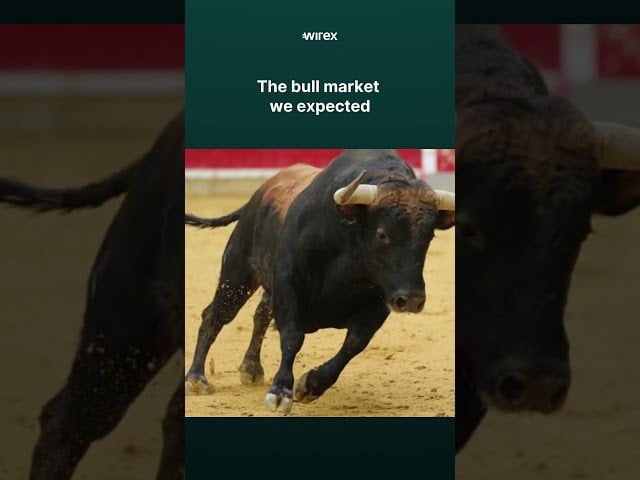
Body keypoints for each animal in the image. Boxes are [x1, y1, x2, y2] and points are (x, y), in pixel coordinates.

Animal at [184, 149, 455, 414]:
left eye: (429, 237)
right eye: (382, 234)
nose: (411, 300)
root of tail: (259, 195)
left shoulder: (380, 300)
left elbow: (355, 343)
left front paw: (311, 385)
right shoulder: (289, 282)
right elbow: (292, 336)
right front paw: (280, 392)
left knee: (260, 313)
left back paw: (251, 368)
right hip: (238, 271)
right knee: (216, 315)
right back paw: (196, 379)